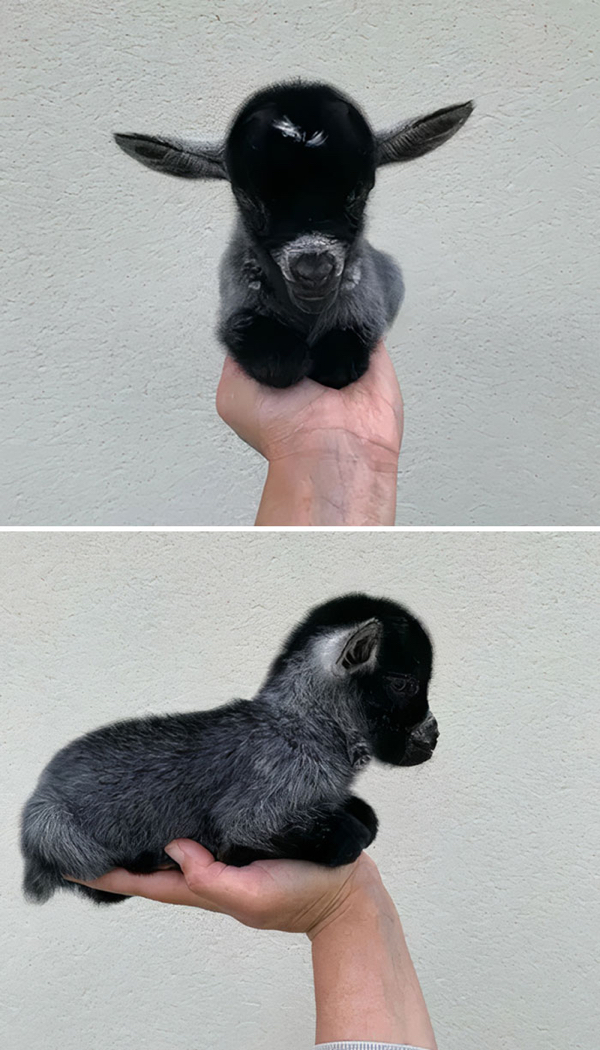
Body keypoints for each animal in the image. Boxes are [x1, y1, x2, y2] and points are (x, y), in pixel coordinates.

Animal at [21, 593, 436, 906]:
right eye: (404, 685)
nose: (433, 733)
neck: (305, 727)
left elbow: (364, 815)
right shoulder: (252, 813)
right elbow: (345, 837)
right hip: (52, 826)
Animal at [114, 81, 473, 389]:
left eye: (359, 193)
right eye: (248, 200)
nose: (313, 271)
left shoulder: (368, 304)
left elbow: (344, 355)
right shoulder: (234, 306)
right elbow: (275, 362)